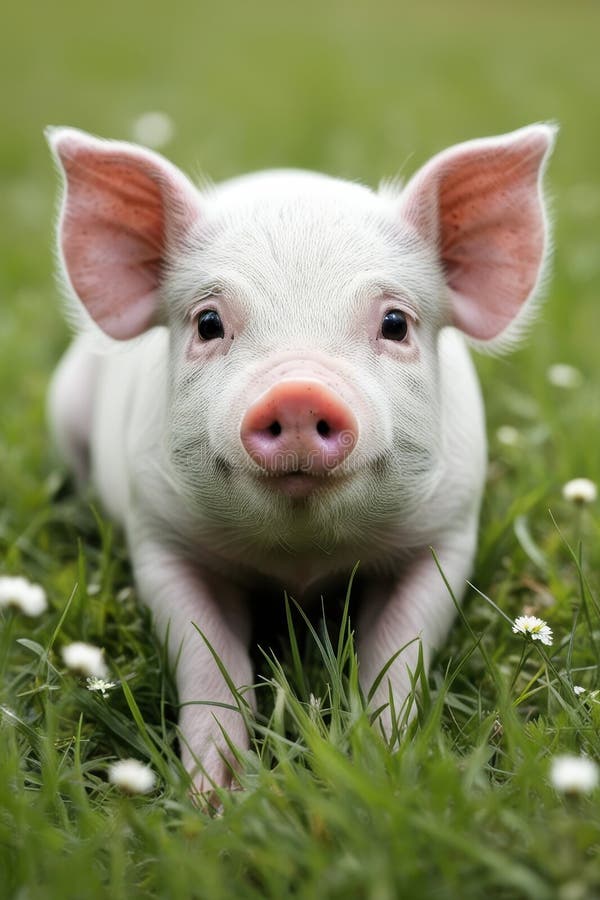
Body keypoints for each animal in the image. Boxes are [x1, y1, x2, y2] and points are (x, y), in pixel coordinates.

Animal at [46, 123, 556, 794]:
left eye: (396, 323)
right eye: (208, 322)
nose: (297, 391)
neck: (301, 559)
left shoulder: (445, 533)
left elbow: (400, 648)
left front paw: (382, 765)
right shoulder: (160, 535)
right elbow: (208, 657)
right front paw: (217, 797)